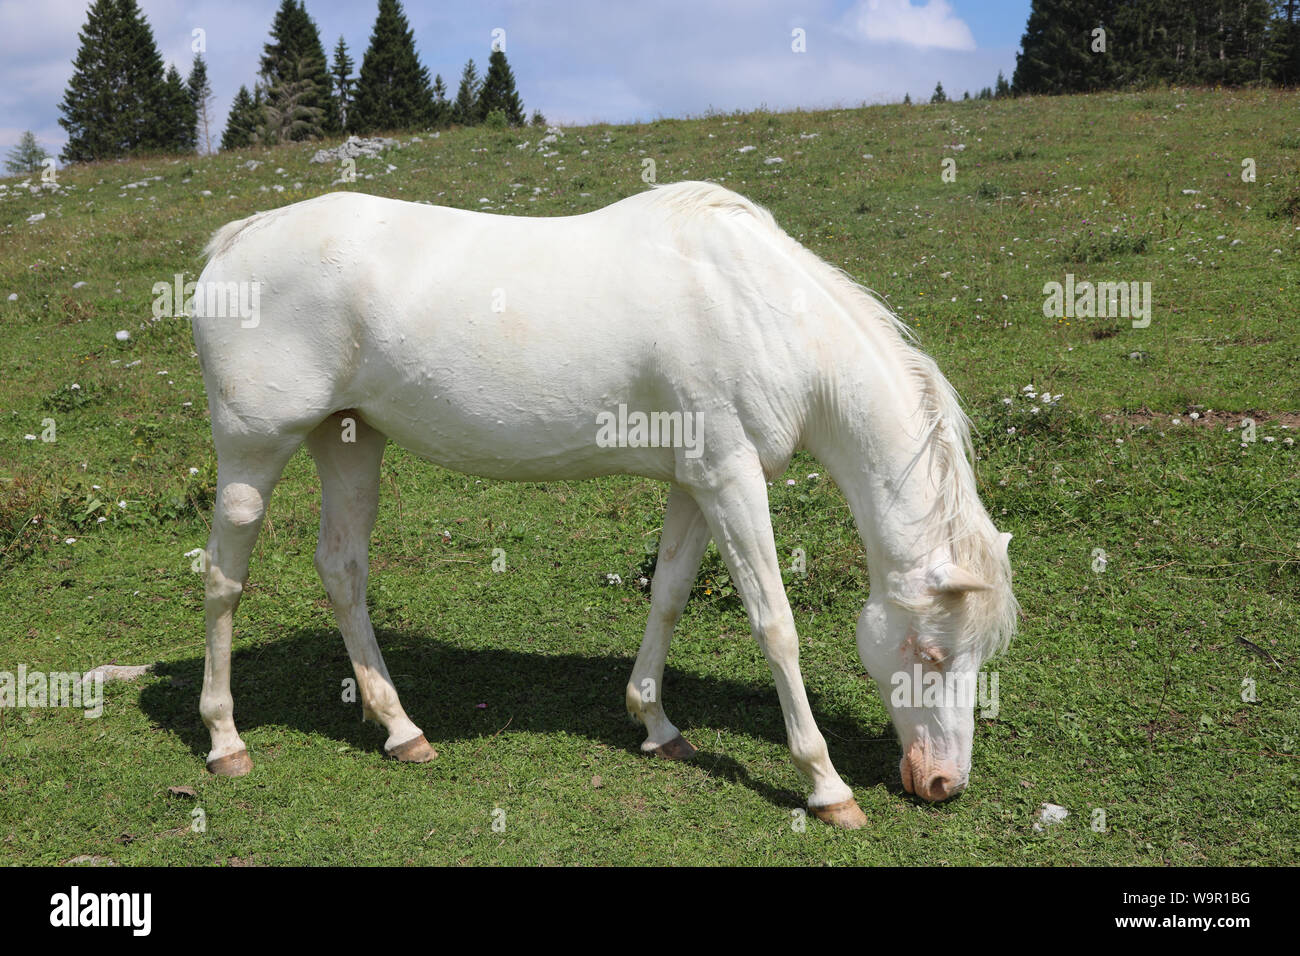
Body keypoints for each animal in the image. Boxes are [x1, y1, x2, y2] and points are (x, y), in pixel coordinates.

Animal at [190, 181, 1017, 828]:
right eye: (932, 654)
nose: (942, 783)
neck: (758, 310)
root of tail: (235, 243)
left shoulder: (696, 482)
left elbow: (671, 595)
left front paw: (655, 722)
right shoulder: (732, 479)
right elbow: (775, 626)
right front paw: (826, 786)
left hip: (350, 443)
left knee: (343, 570)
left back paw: (399, 728)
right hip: (253, 454)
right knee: (225, 579)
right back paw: (227, 741)